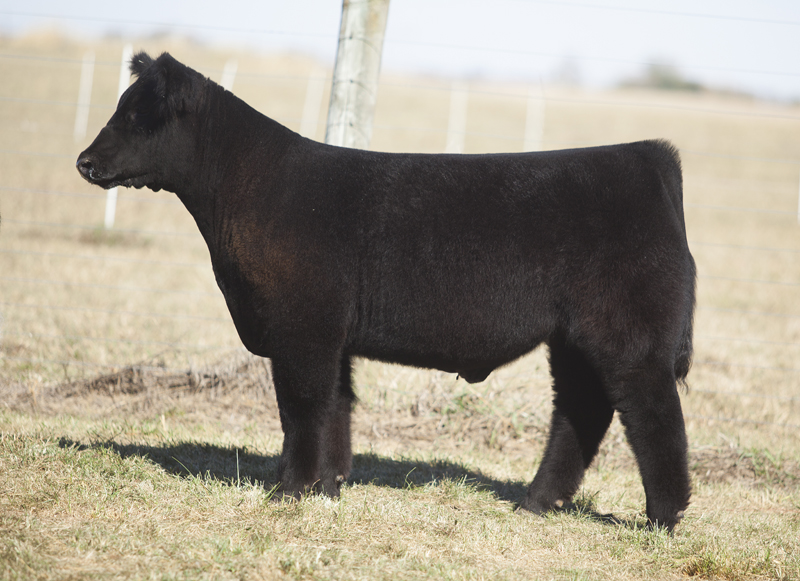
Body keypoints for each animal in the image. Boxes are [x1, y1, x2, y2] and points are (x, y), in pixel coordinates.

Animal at [77, 51, 696, 531]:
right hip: (572, 341)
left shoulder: (303, 327)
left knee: (653, 416)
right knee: (581, 411)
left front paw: (289, 490)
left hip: (629, 338)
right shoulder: (330, 335)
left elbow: (301, 407)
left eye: (137, 115)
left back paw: (662, 518)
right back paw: (536, 503)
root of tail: (647, 156)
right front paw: (328, 487)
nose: (84, 161)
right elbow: (336, 406)